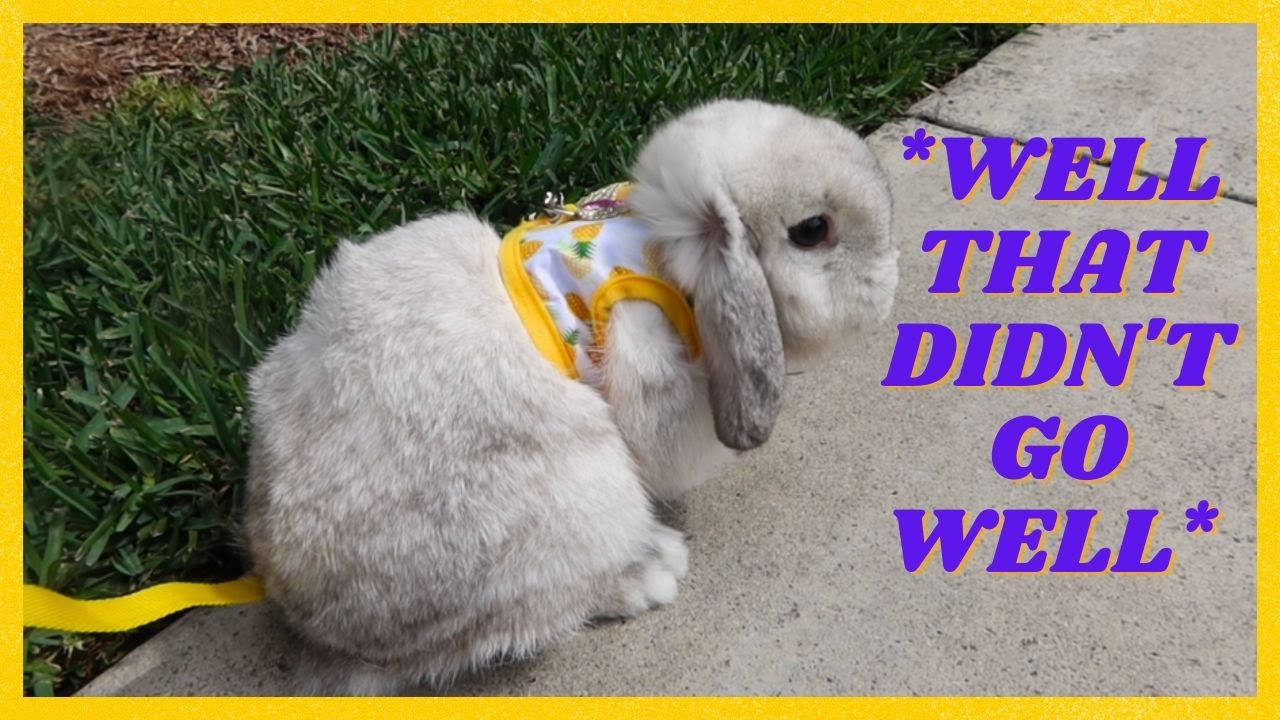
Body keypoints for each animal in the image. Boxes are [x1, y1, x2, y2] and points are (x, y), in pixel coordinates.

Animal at [242, 98, 897, 695]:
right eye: (812, 231)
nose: (890, 281)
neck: (665, 257)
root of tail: (322, 628)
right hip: (581, 503)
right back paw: (653, 570)